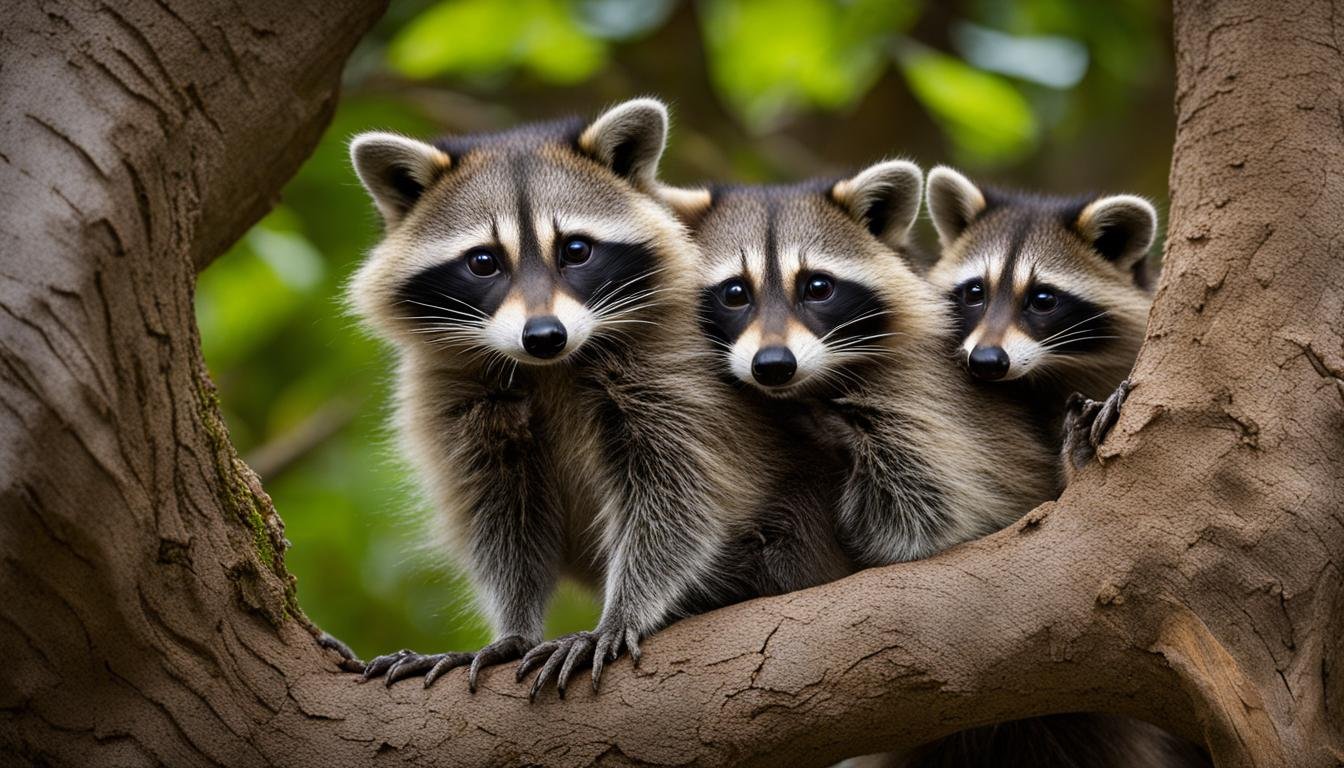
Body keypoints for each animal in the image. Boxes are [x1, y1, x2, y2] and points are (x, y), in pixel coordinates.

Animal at [347, 99, 847, 698]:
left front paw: (624, 611)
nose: (544, 335)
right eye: (484, 261)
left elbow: (675, 500)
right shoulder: (453, 398)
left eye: (576, 250)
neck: (548, 368)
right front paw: (513, 627)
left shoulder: (676, 372)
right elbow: (502, 521)